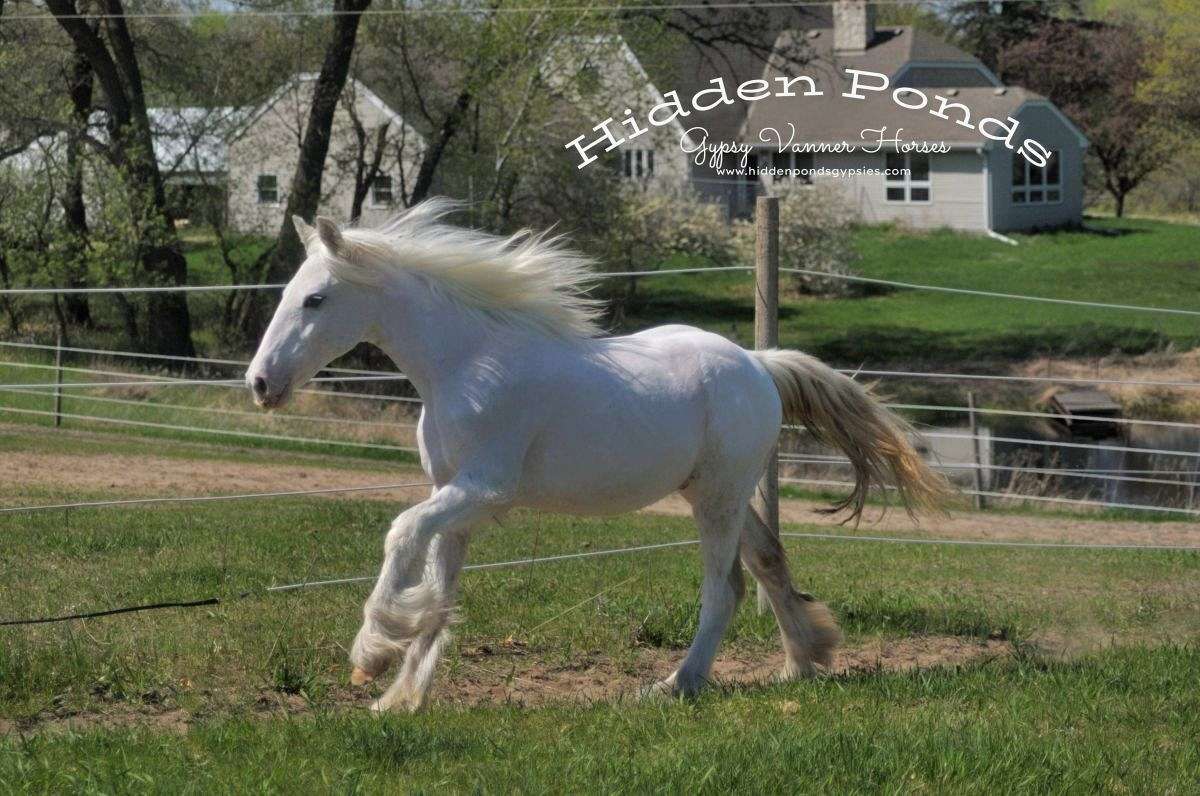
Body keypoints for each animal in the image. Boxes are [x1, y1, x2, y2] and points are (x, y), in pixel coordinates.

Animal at [245, 199, 949, 712]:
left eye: (315, 299)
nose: (259, 383)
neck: (466, 366)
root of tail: (757, 364)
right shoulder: (456, 499)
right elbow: (440, 591)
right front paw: (402, 699)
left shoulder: (484, 489)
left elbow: (401, 533)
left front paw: (372, 653)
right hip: (717, 492)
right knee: (770, 563)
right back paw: (804, 662)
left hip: (718, 501)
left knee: (725, 587)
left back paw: (677, 685)